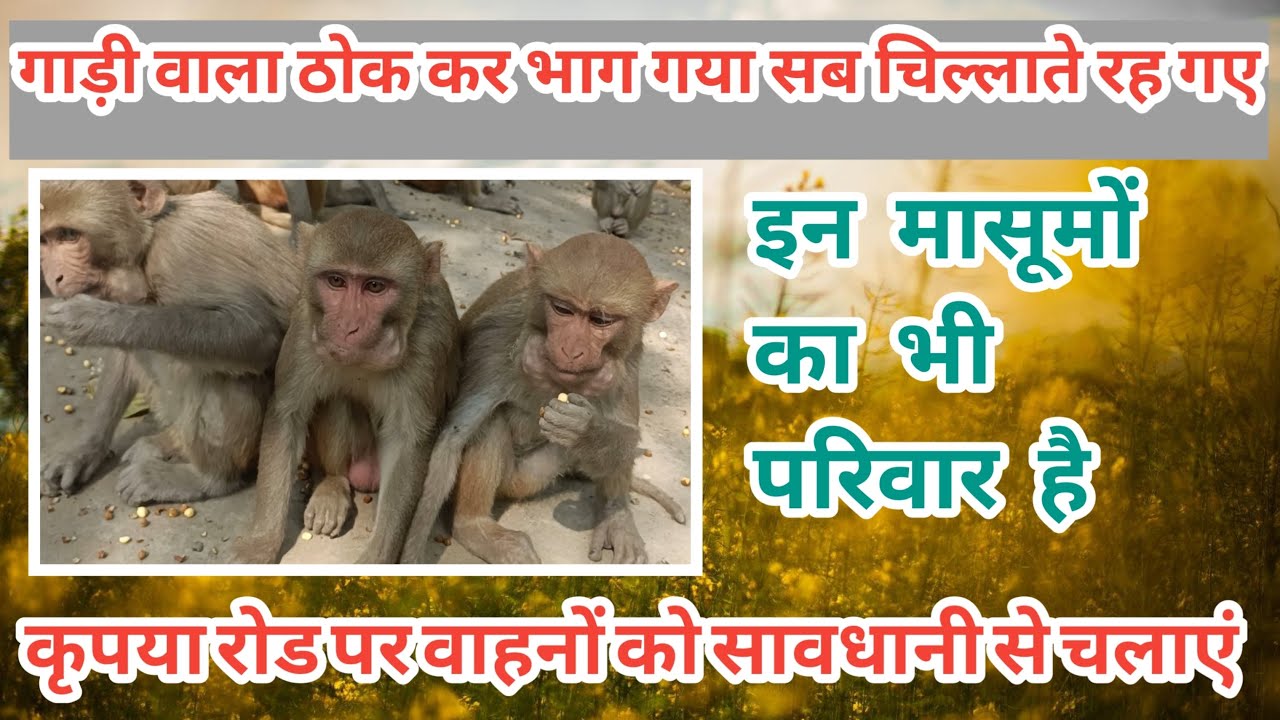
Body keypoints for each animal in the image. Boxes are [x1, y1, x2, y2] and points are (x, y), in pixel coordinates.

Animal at [38, 181, 300, 504]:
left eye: (69, 235)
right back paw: (171, 444)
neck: (147, 249)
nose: (54, 278)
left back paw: (206, 478)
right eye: (43, 241)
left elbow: (256, 333)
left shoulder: (182, 253)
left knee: (215, 375)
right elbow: (122, 351)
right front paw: (84, 450)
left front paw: (91, 319)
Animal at [230, 207, 459, 565]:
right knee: (335, 400)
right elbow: (288, 415)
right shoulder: (305, 324)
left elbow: (407, 441)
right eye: (336, 281)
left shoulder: (430, 340)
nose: (348, 326)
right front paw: (261, 544)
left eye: (375, 286)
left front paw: (377, 558)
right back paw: (332, 486)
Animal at [399, 232, 684, 565]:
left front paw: (585, 431)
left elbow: (626, 434)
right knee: (491, 422)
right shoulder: (497, 341)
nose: (571, 350)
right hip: (517, 480)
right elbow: (453, 439)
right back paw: (473, 526)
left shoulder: (631, 358)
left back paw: (616, 518)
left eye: (600, 320)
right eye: (562, 309)